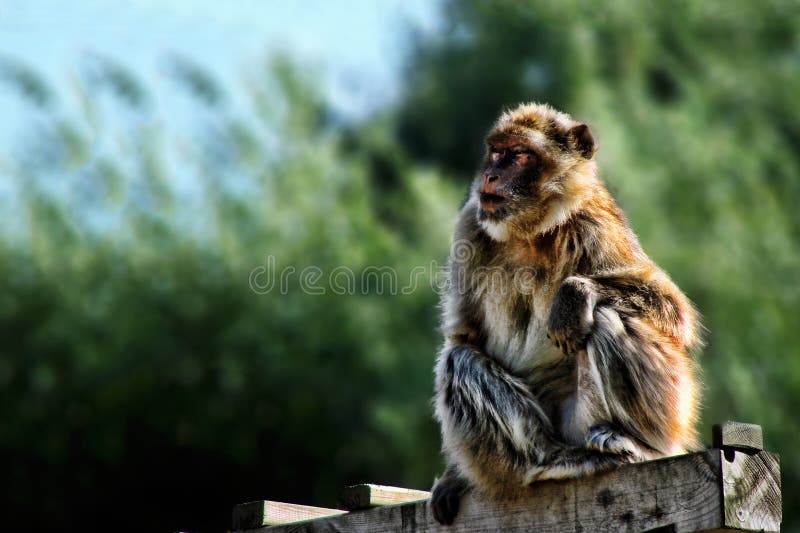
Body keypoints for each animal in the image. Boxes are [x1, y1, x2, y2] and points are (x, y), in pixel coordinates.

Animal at [431, 102, 701, 525]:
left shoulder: (595, 224)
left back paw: (643, 446)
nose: (490, 174)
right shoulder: (471, 224)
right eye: (496, 151)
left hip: (644, 414)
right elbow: (464, 337)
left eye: (520, 155)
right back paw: (549, 460)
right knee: (461, 359)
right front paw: (453, 477)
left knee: (605, 317)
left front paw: (574, 295)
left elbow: (672, 310)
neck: (530, 232)